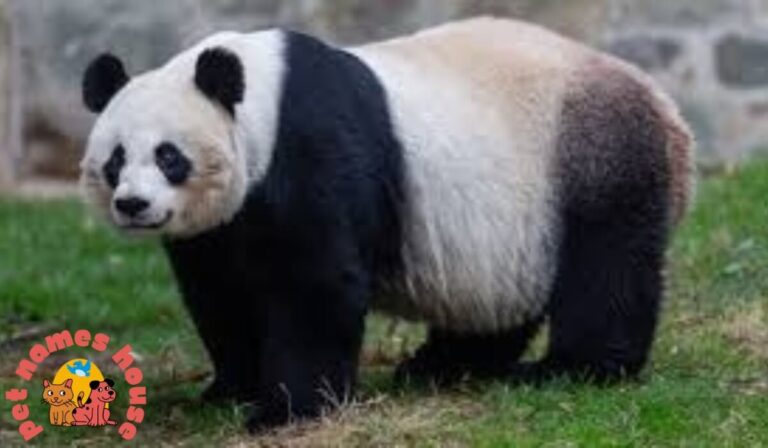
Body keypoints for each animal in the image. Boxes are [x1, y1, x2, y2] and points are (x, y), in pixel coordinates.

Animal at [80, 18, 695, 430]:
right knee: (500, 299)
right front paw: (231, 388)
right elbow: (221, 294)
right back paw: (439, 366)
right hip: (515, 222)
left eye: (169, 156)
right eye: (115, 160)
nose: (133, 205)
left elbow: (316, 283)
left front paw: (285, 409)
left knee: (606, 268)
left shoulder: (310, 148)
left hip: (595, 158)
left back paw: (571, 369)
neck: (258, 101)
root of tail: (669, 113)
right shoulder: (220, 228)